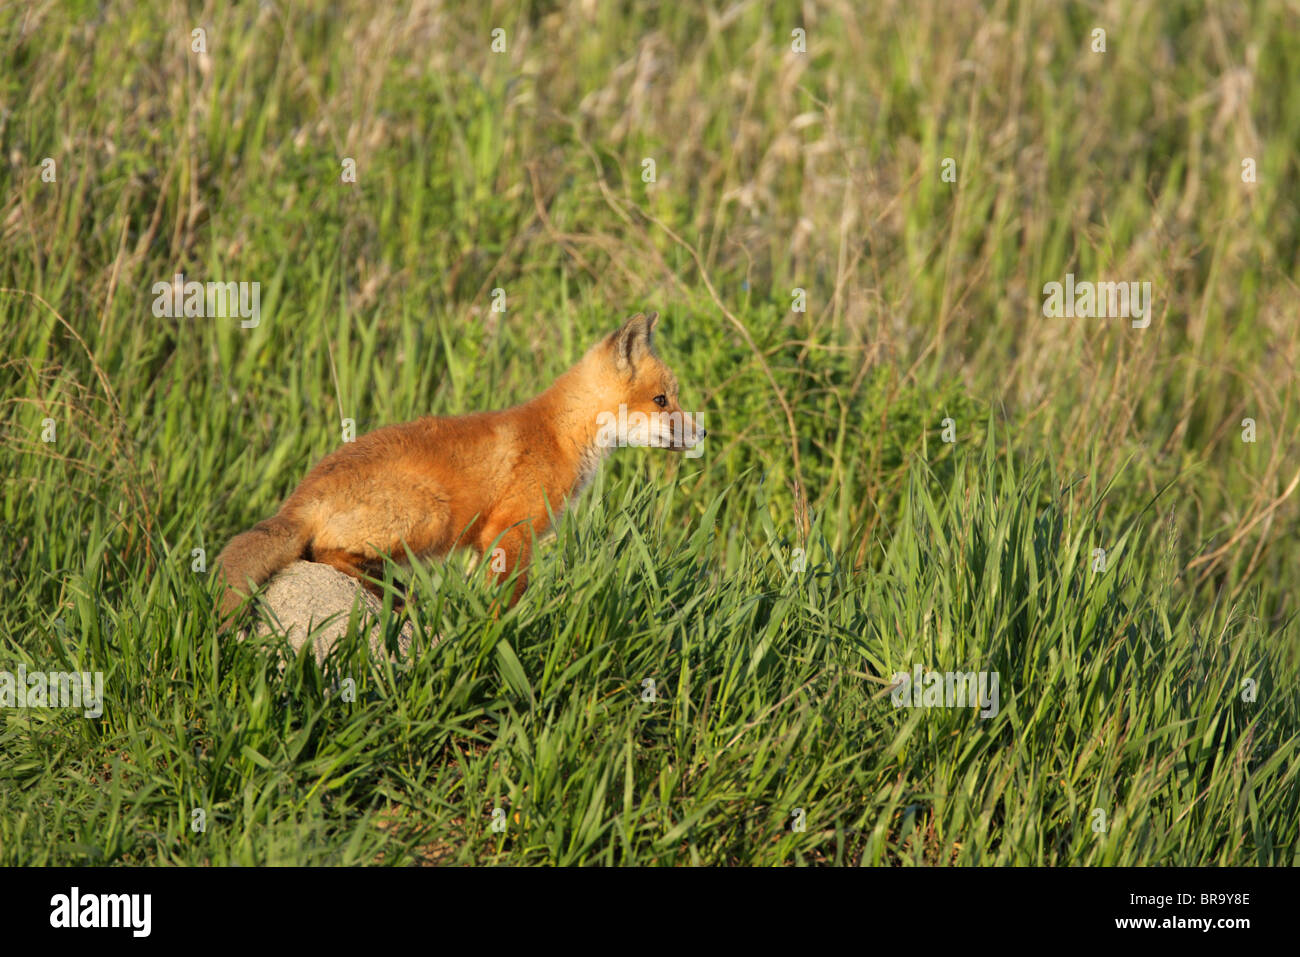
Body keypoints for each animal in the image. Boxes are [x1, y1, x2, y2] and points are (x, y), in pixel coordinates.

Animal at [214, 311, 704, 621]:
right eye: (661, 400)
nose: (701, 433)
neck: (557, 436)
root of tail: (298, 499)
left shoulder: (489, 540)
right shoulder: (511, 529)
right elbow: (507, 596)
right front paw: (499, 631)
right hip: (430, 513)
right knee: (322, 553)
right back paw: (392, 591)